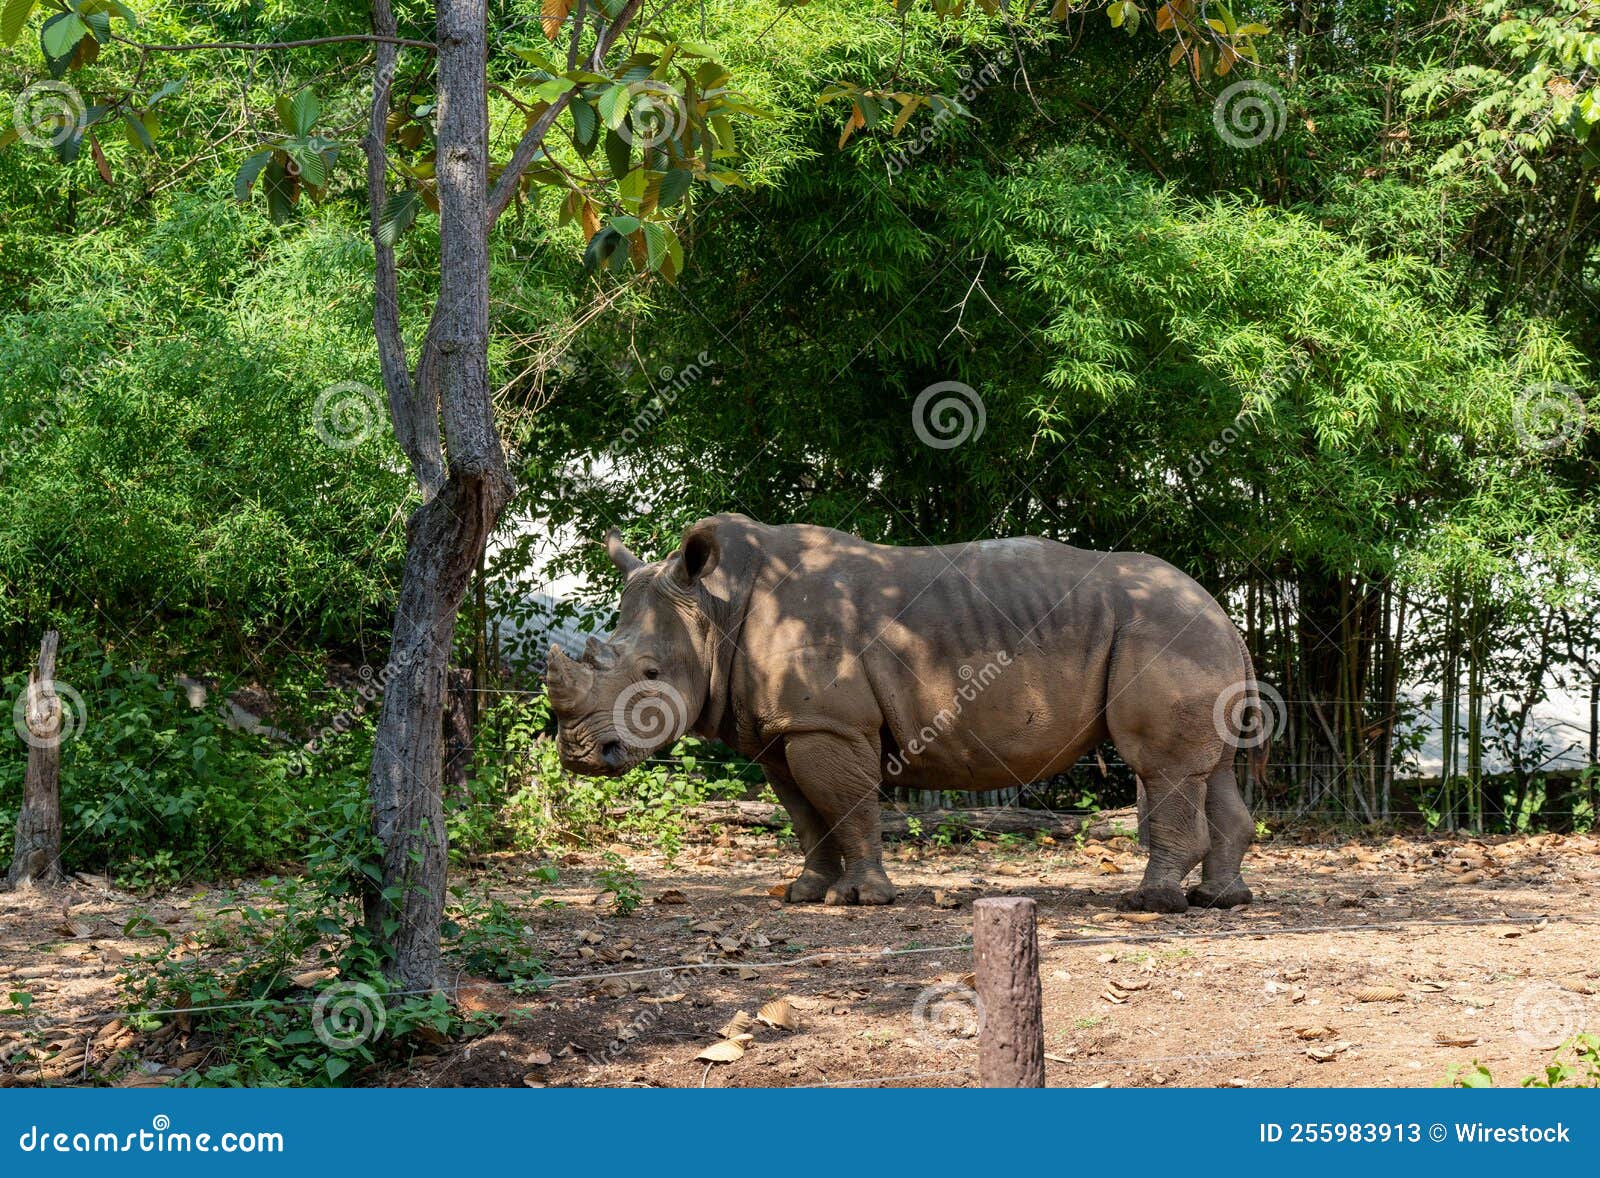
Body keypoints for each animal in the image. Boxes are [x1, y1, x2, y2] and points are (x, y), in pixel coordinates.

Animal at [545, 513, 1264, 913]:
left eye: (649, 676)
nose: (580, 755)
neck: (715, 608)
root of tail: (1221, 609)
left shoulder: (829, 724)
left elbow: (847, 806)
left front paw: (862, 899)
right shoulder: (782, 728)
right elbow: (806, 817)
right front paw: (805, 895)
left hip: (1163, 629)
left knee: (1162, 768)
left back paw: (1150, 905)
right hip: (1187, 634)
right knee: (1212, 770)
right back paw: (1219, 900)